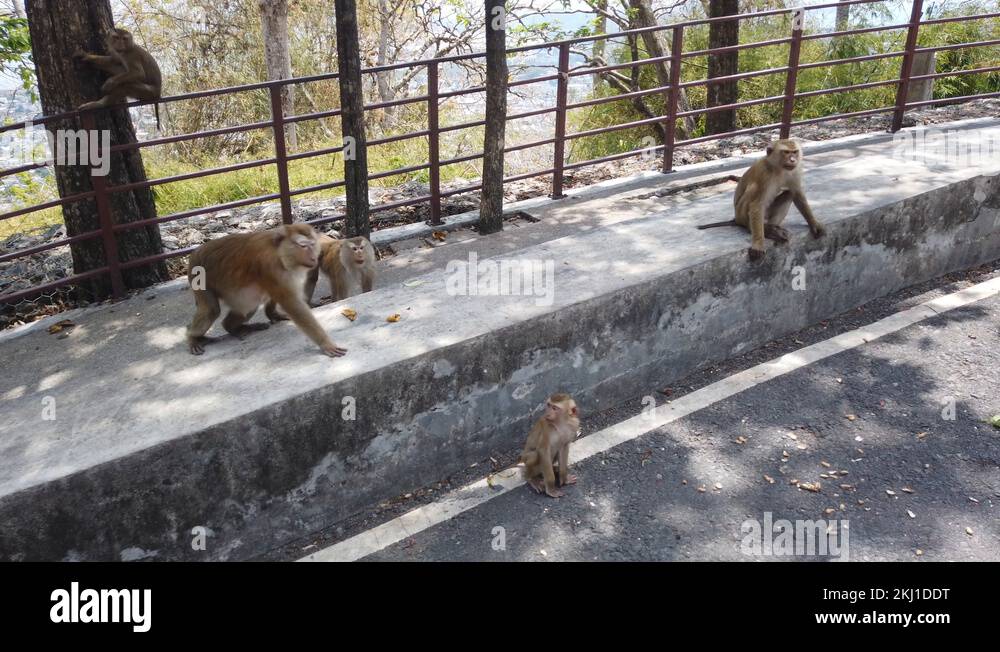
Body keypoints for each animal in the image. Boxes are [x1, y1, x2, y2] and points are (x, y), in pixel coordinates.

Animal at [185, 223, 348, 358]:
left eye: (312, 245)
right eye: (303, 246)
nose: (313, 257)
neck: (278, 252)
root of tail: (196, 252)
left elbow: (277, 294)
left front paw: (273, 314)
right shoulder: (269, 265)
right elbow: (291, 303)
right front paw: (326, 344)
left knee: (248, 306)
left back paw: (232, 327)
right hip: (198, 275)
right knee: (211, 310)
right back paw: (192, 338)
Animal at [697, 139, 825, 262]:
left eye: (794, 152)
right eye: (786, 152)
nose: (793, 160)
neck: (777, 168)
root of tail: (736, 218)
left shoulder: (794, 171)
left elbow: (797, 194)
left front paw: (814, 224)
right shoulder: (764, 174)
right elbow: (757, 205)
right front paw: (758, 244)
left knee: (789, 194)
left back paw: (772, 227)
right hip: (742, 214)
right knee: (753, 190)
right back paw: (757, 229)